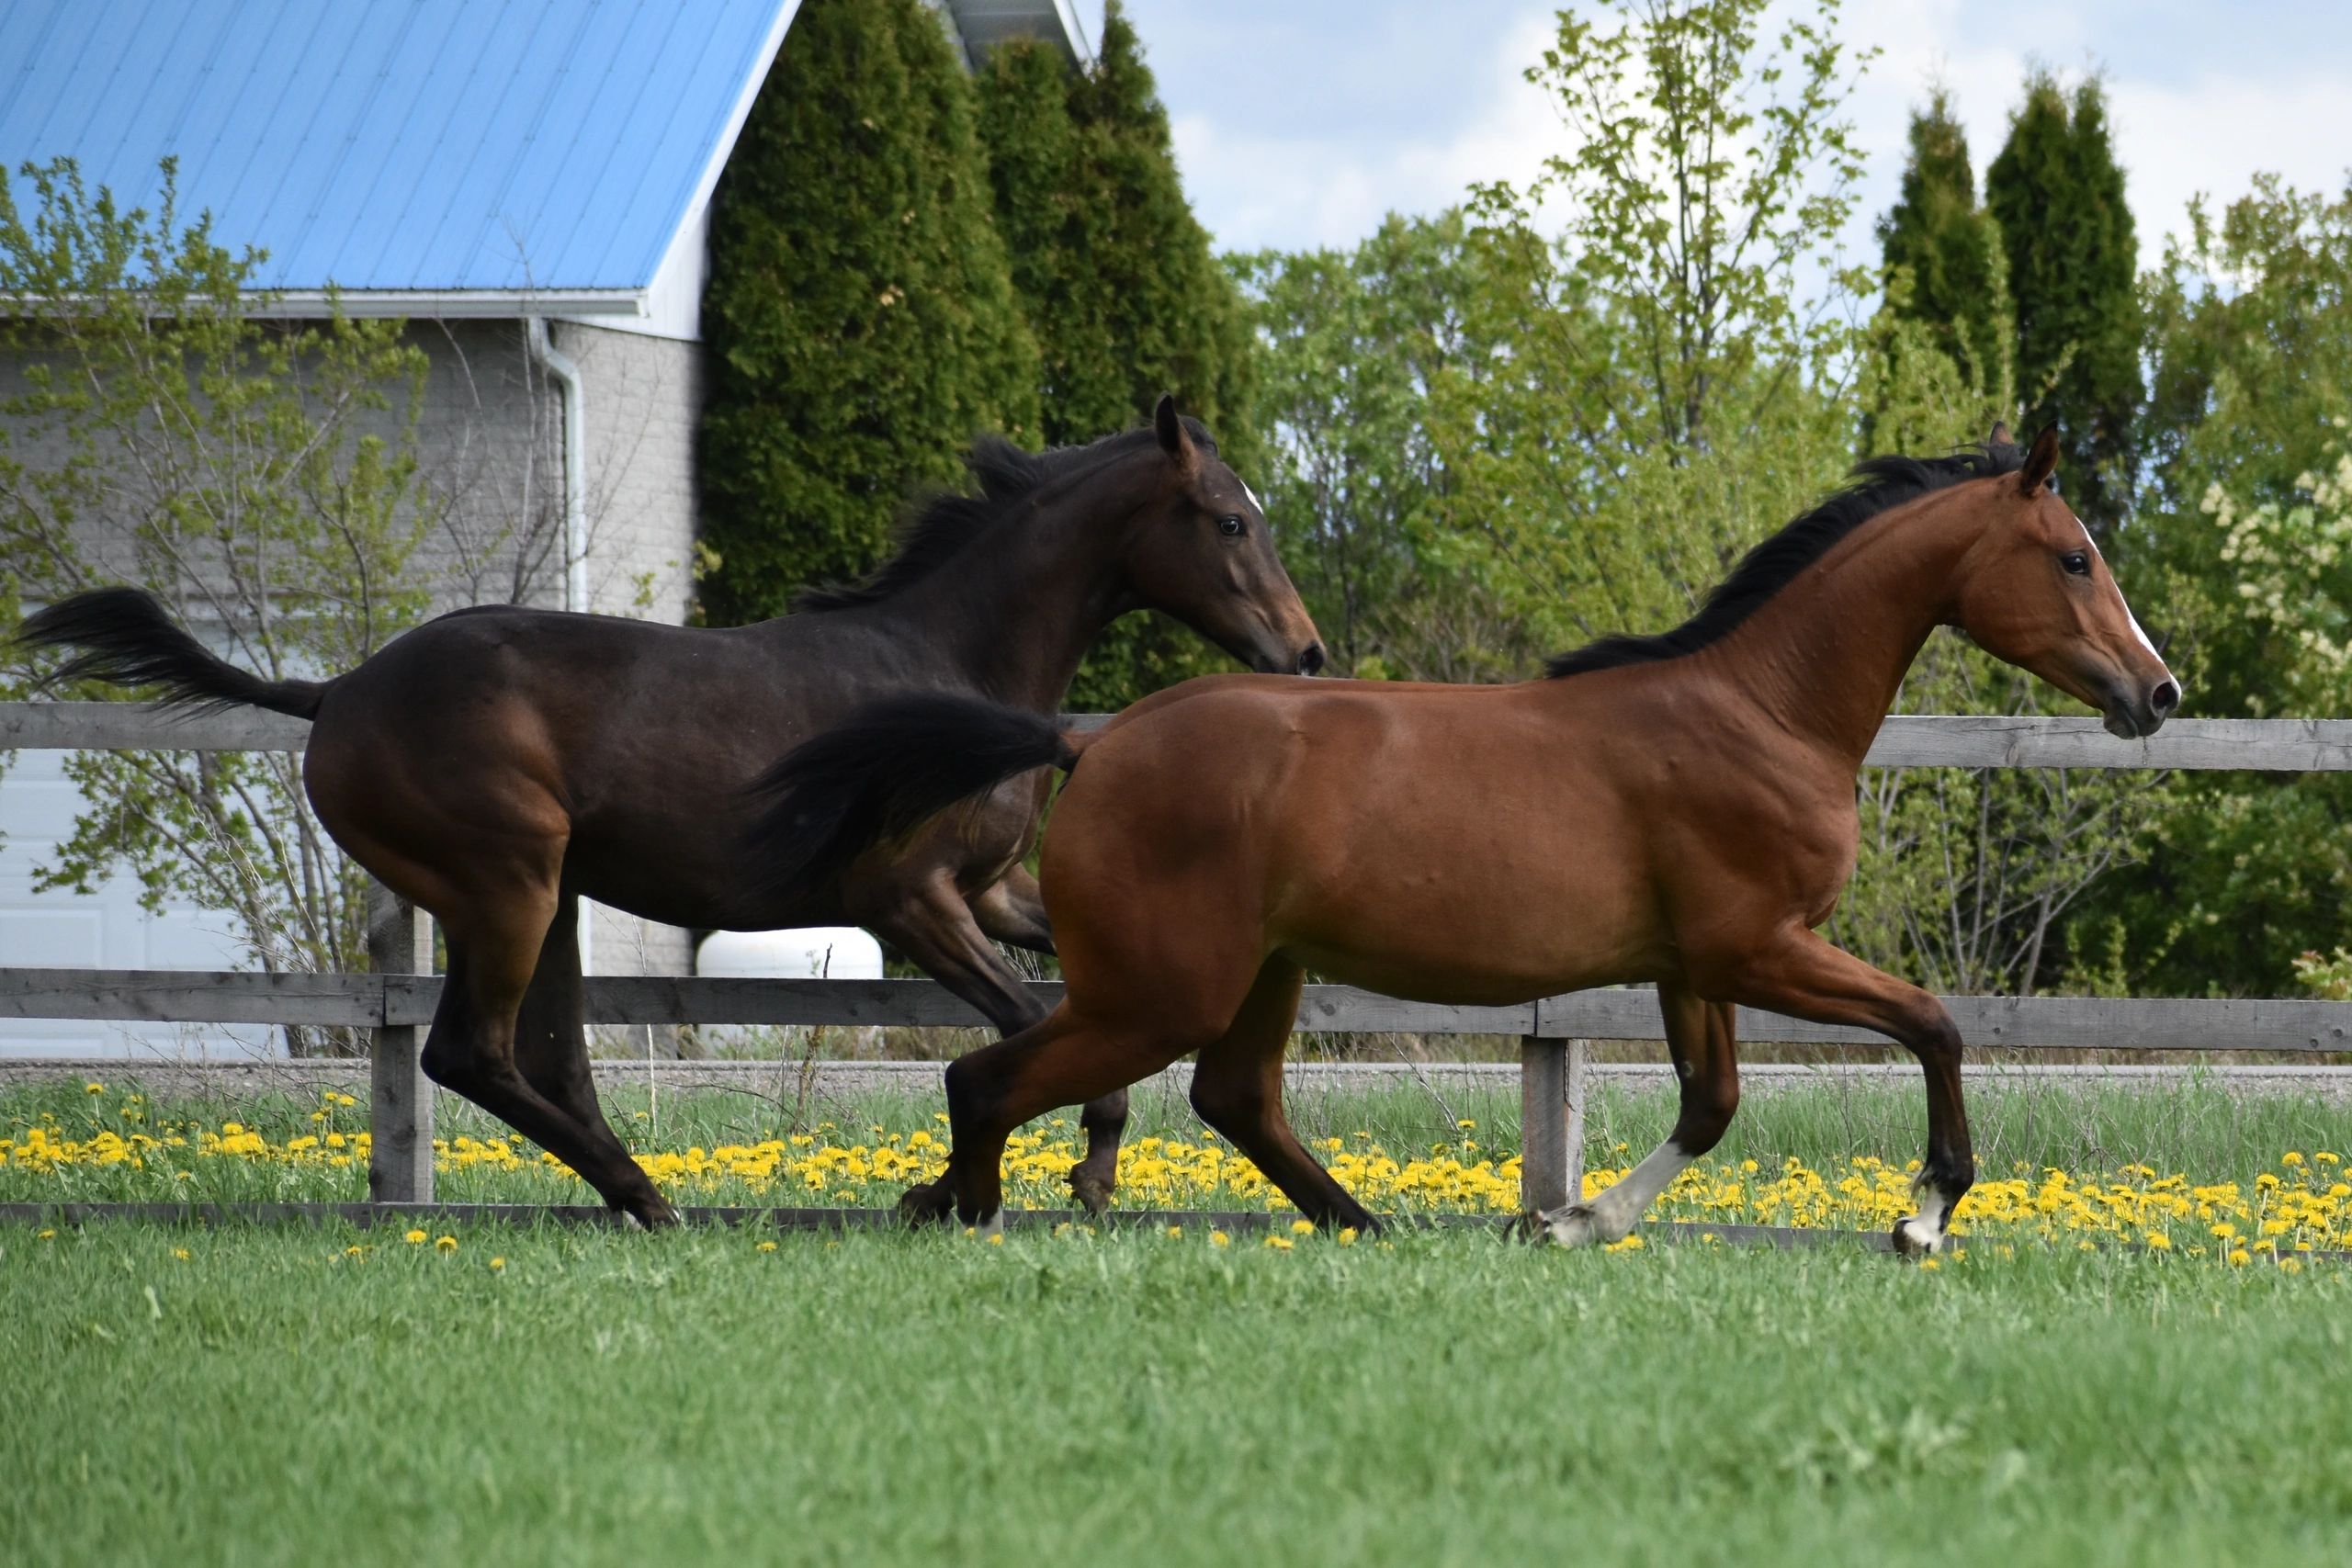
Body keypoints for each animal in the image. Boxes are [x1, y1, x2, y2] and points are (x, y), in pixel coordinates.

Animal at [16, 397, 1324, 1227]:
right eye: (1230, 520)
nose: (1305, 654)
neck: (948, 665)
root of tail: (332, 692)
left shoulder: (995, 894)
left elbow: (1069, 1011)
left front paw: (1079, 1176)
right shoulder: (906, 901)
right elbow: (1023, 1031)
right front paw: (970, 1190)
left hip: (551, 900)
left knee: (547, 1057)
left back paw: (635, 1195)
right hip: (506, 882)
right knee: (468, 1052)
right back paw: (651, 1195)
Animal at [750, 427, 2178, 1253]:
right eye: (2071, 555)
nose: (2156, 692)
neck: (1761, 709)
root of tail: (1090, 744)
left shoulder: (1691, 965)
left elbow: (1711, 1104)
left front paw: (1573, 1219)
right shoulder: (1760, 946)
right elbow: (1932, 1023)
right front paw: (1924, 1214)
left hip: (1259, 972)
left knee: (1232, 1096)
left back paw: (1360, 1225)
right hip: (1164, 986)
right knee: (989, 1080)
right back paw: (961, 1211)